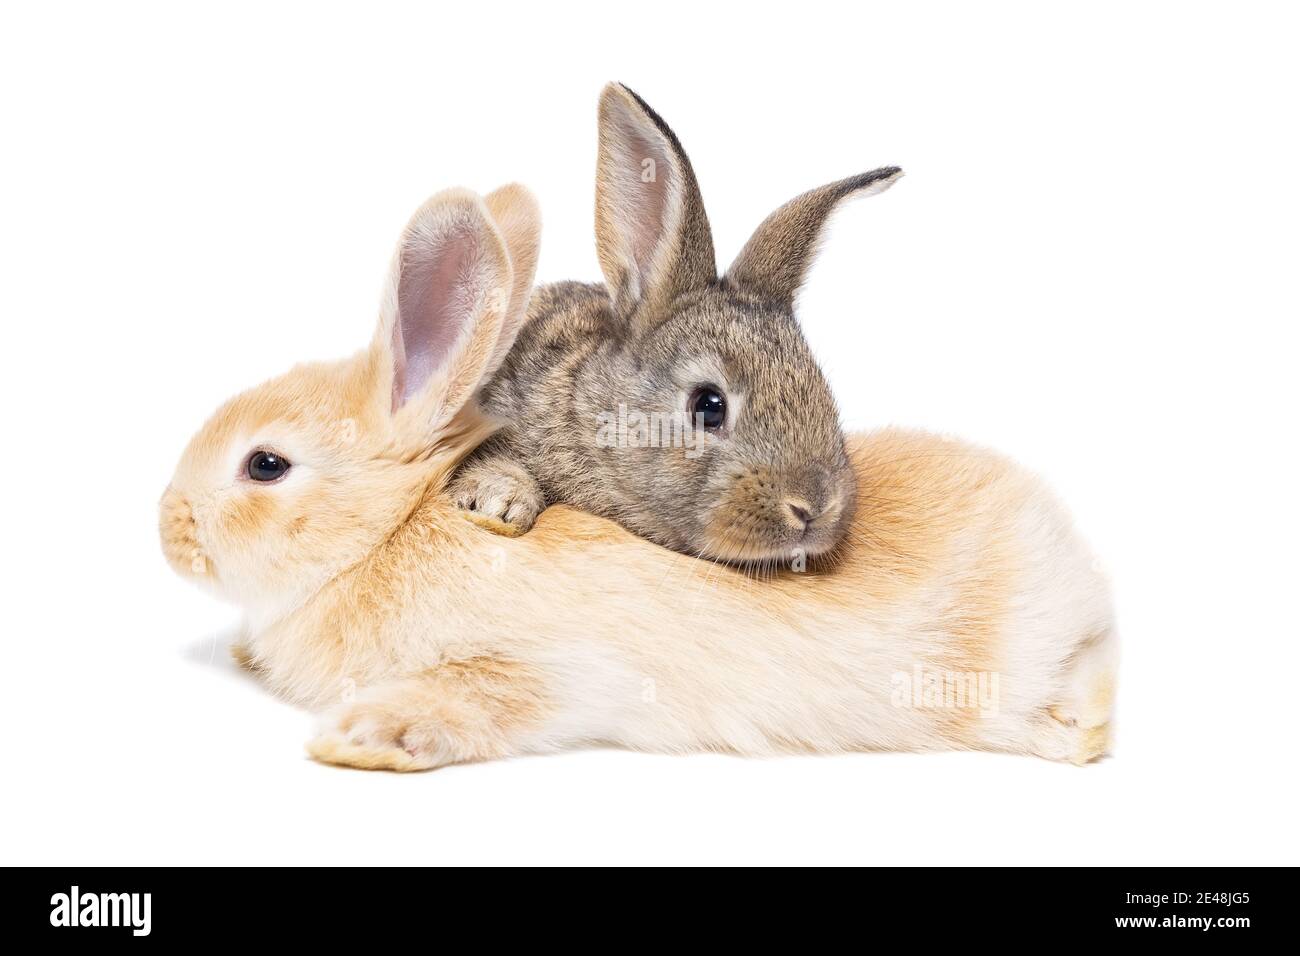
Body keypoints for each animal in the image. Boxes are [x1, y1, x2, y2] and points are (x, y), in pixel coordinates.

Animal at [160, 182, 1117, 771]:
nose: (168, 527)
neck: (382, 536)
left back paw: (1076, 730)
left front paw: (364, 738)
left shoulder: (550, 666)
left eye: (266, 464)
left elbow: (483, 697)